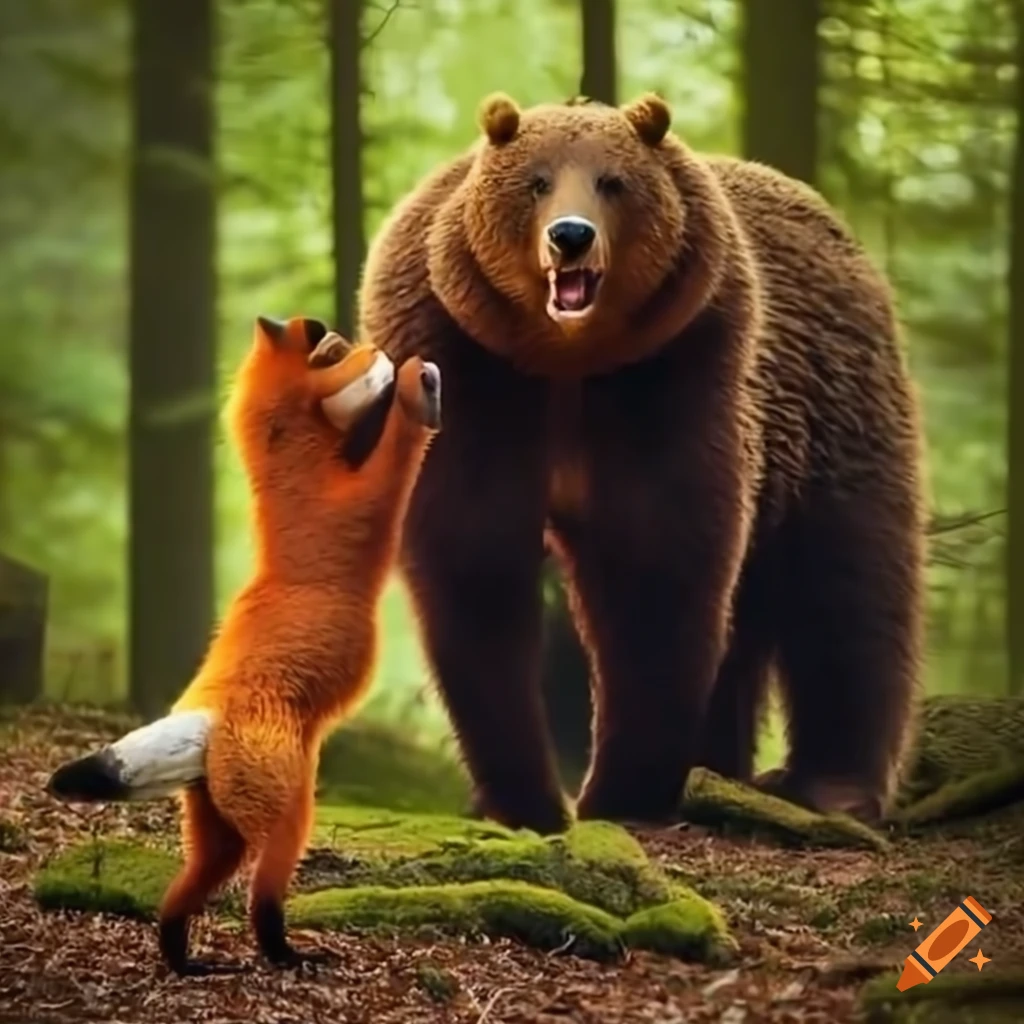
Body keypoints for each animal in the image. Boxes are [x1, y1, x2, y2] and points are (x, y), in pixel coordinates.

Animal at [47, 314, 441, 975]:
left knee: (179, 899)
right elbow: (402, 442)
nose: (345, 333)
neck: (298, 473)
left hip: (218, 833)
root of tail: (203, 715)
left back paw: (186, 962)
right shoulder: (364, 494)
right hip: (287, 816)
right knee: (263, 897)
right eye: (316, 335)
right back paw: (286, 955)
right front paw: (415, 386)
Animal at [359, 92, 926, 834]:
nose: (570, 235)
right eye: (536, 181)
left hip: (834, 408)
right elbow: (475, 554)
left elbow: (655, 563)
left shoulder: (675, 370)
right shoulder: (464, 365)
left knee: (847, 580)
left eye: (613, 182)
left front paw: (622, 789)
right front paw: (526, 798)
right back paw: (723, 769)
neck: (567, 360)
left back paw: (830, 787)